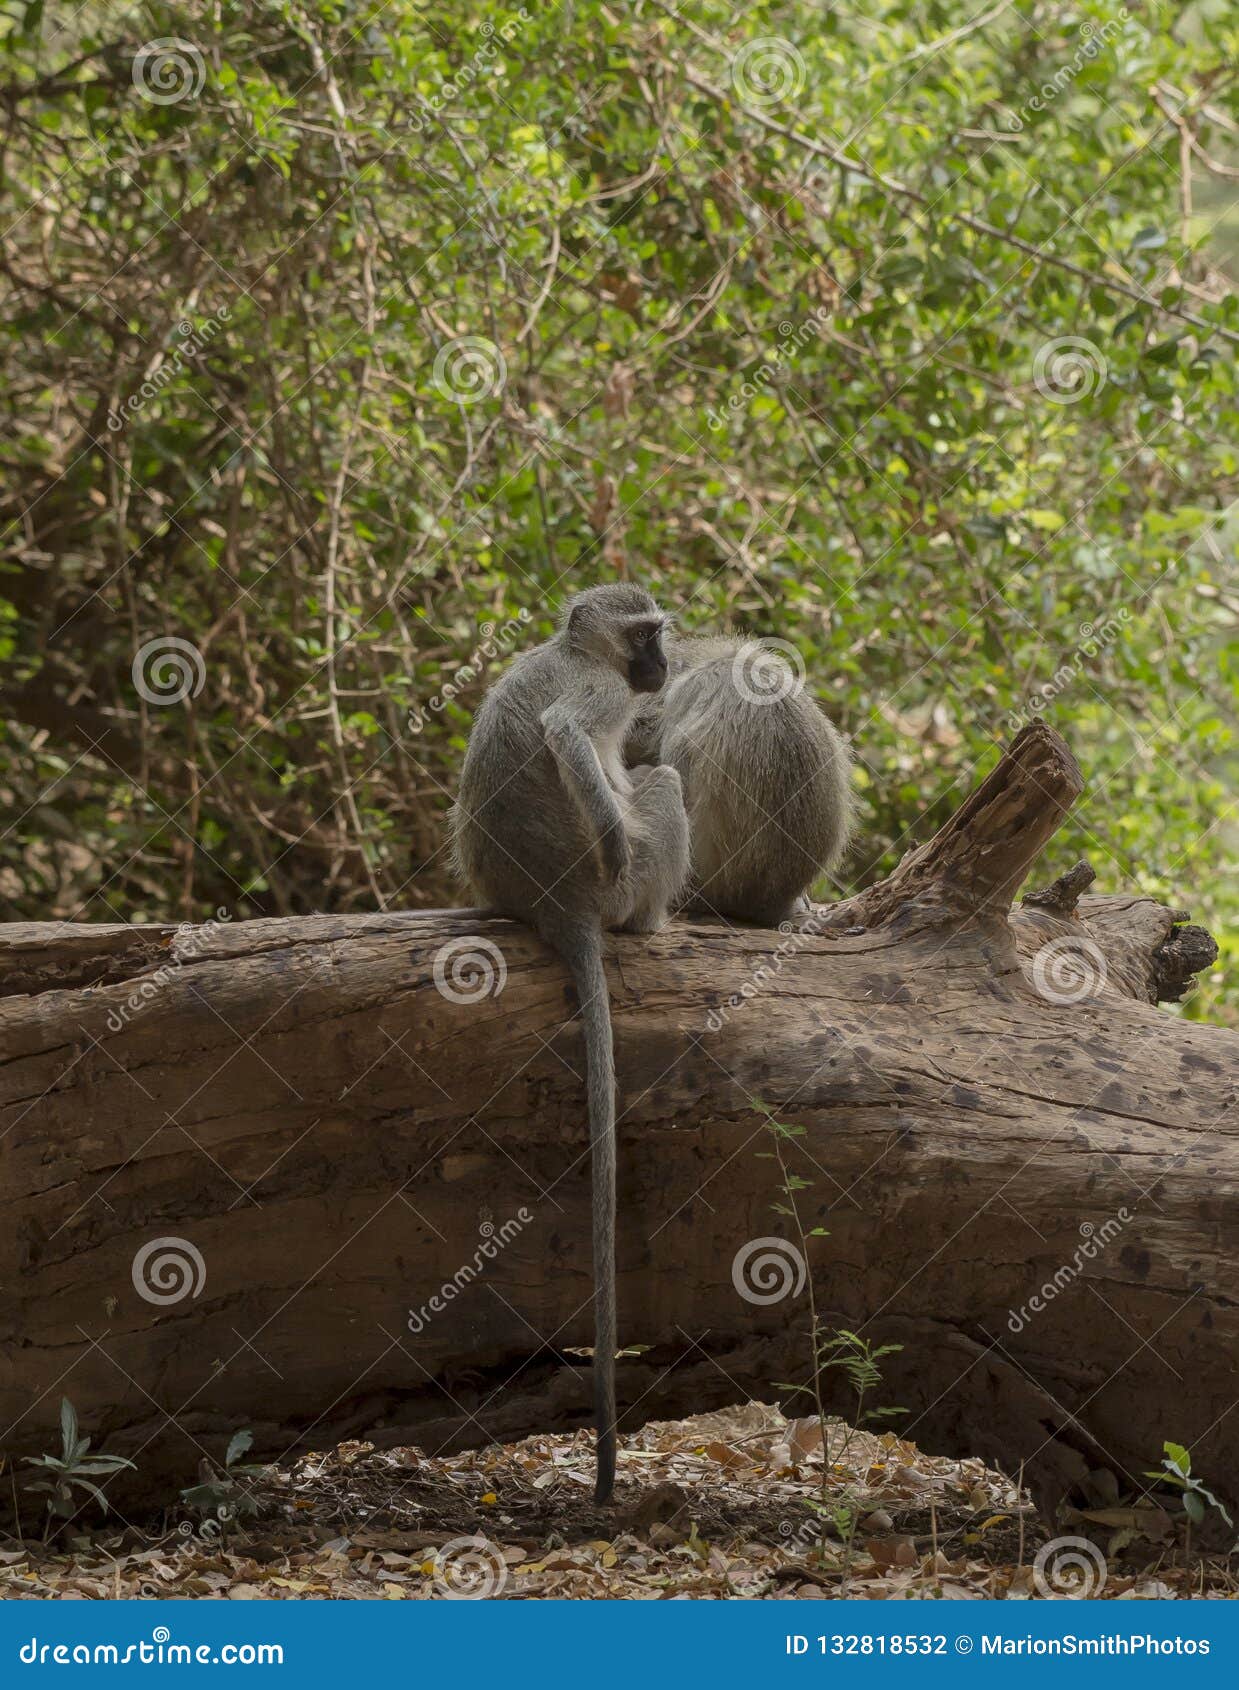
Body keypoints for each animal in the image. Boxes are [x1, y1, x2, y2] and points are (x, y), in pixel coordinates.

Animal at [449, 584, 690, 1504]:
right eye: (644, 634)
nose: (664, 663)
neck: (575, 649)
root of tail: (556, 907)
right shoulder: (604, 696)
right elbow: (568, 734)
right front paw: (615, 831)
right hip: (617, 890)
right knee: (660, 785)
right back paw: (653, 915)